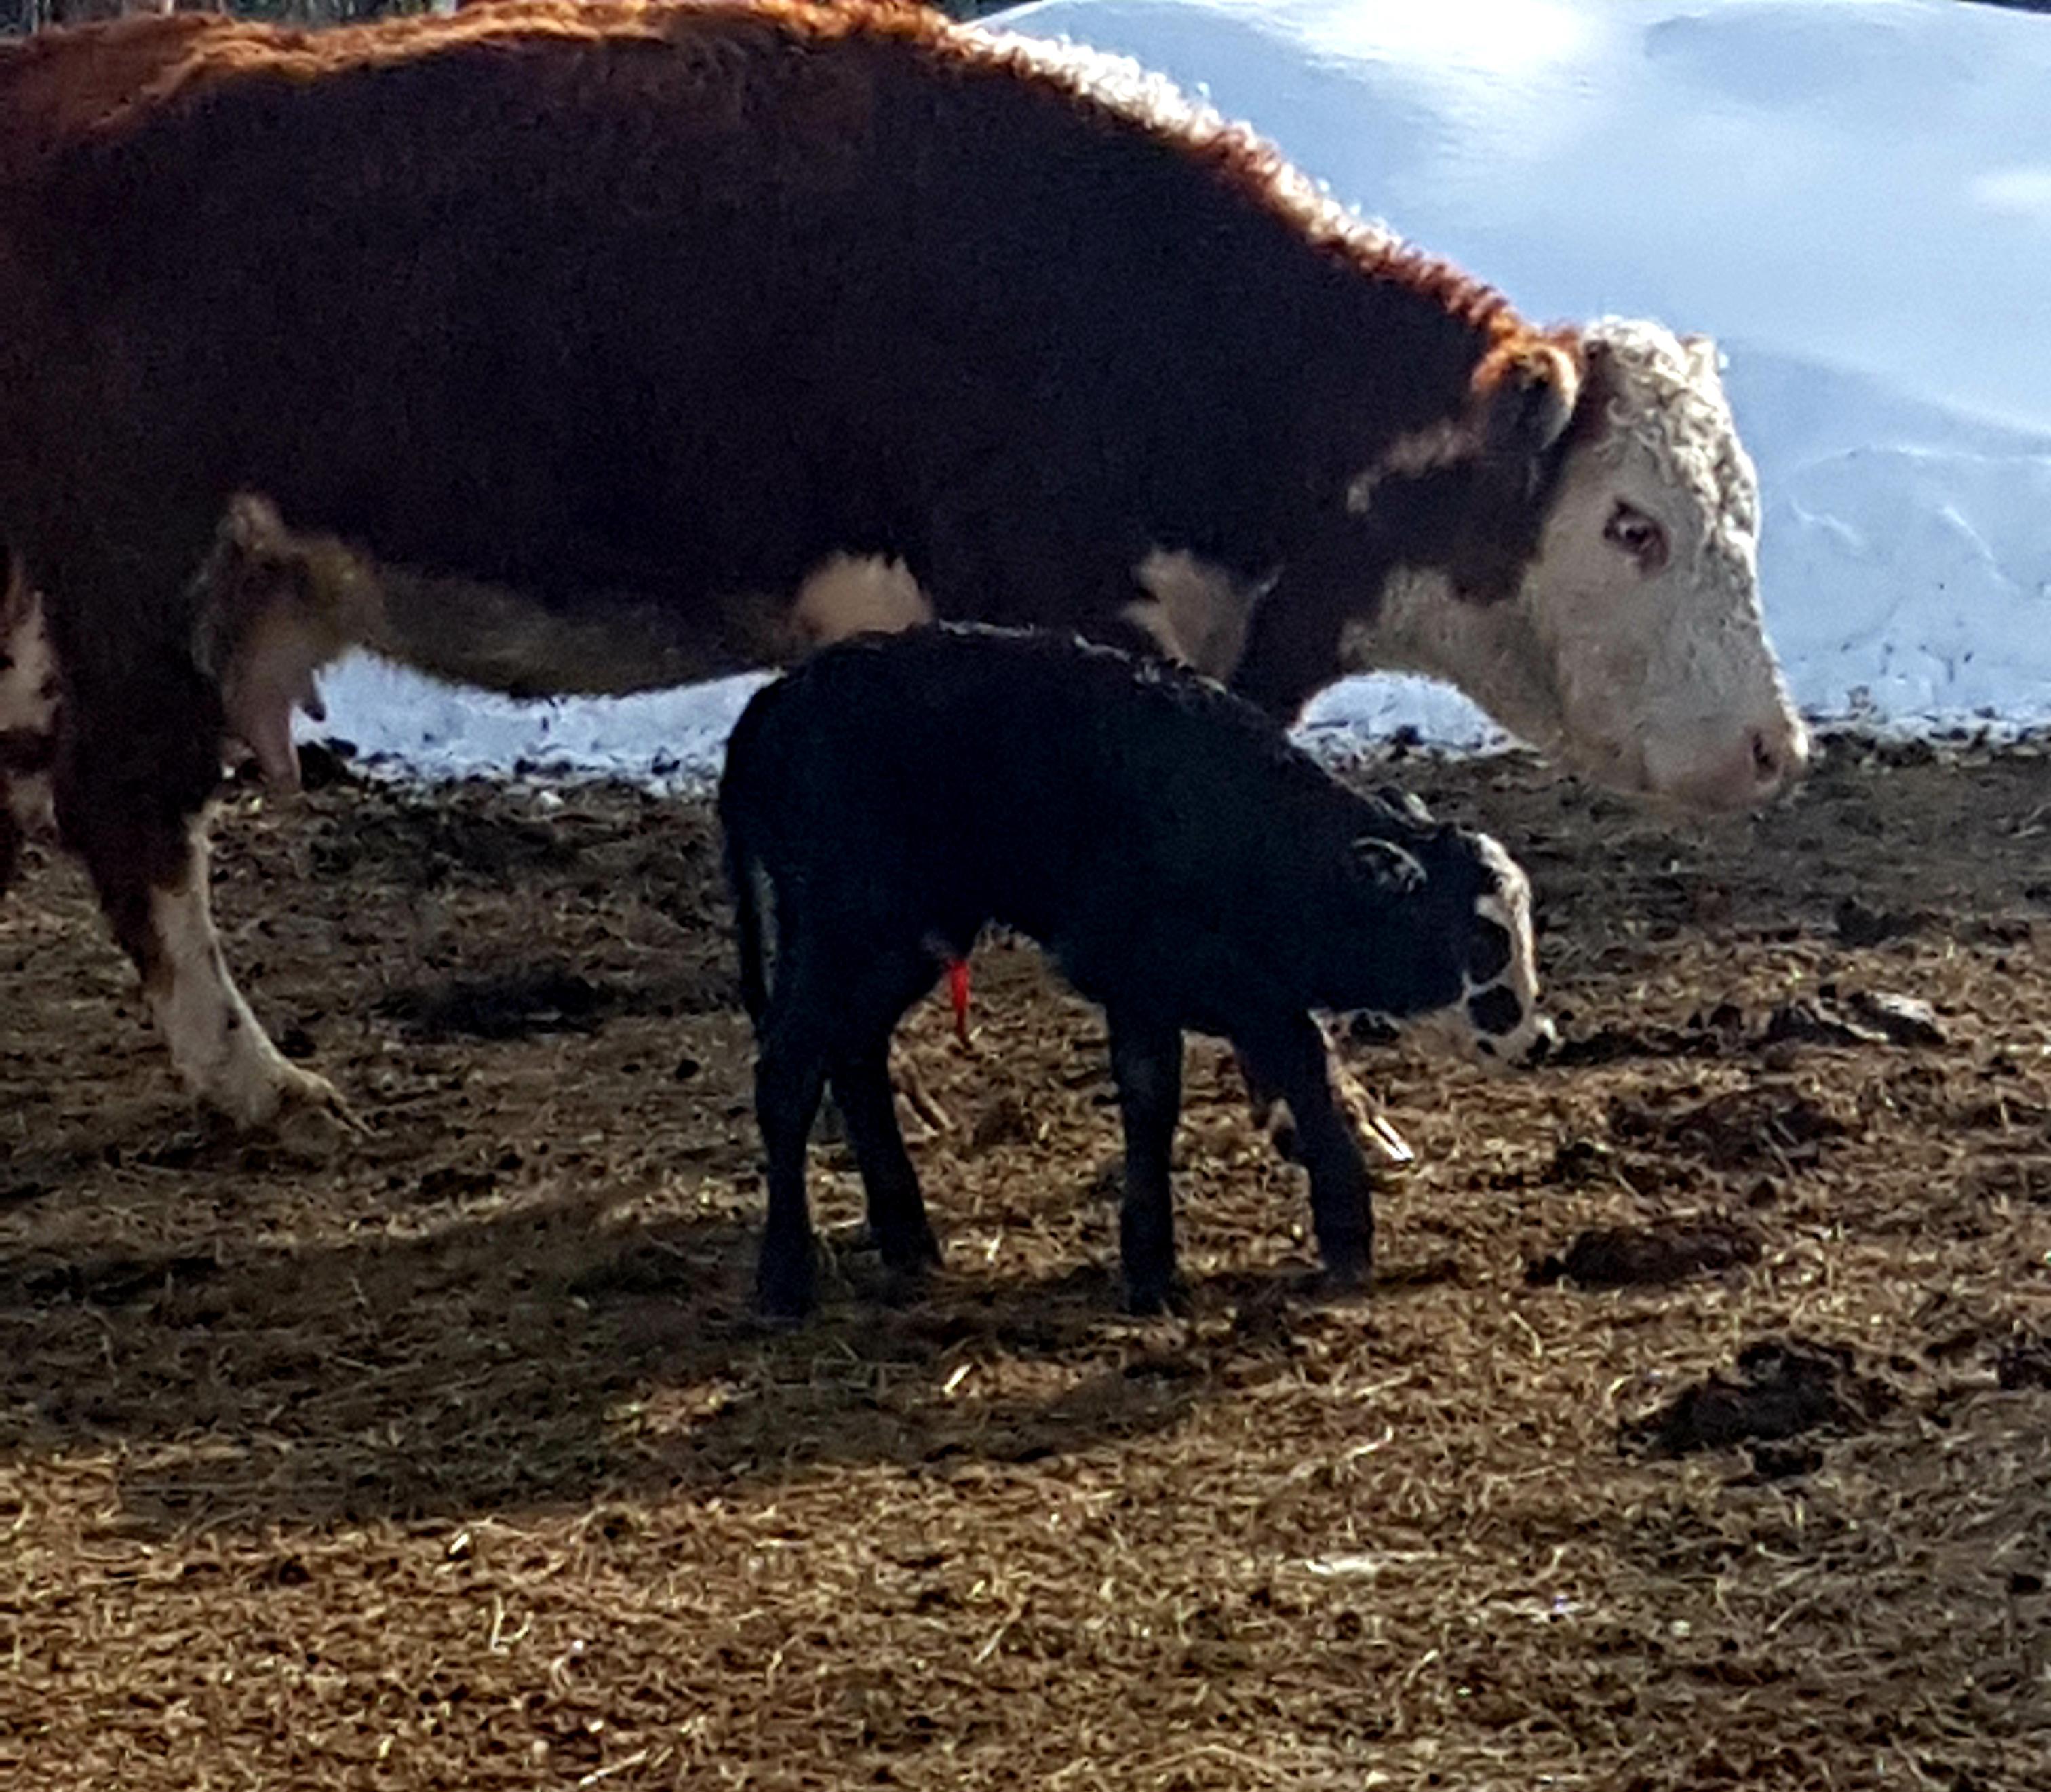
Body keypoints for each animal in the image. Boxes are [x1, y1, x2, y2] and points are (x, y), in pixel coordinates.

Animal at [0, 3, 1801, 1131]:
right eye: (1631, 526)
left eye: (1741, 515)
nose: (1775, 749)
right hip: (143, 581)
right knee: (129, 813)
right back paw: (259, 1084)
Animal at [719, 624, 1551, 1317]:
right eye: (1481, 941)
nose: (1539, 1040)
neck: (1239, 829)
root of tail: (775, 700)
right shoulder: (1155, 975)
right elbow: (1204, 1084)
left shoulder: (1194, 990)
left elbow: (1244, 1082)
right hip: (845, 926)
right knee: (789, 1070)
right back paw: (786, 1280)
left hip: (904, 939)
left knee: (854, 1055)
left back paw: (909, 1241)